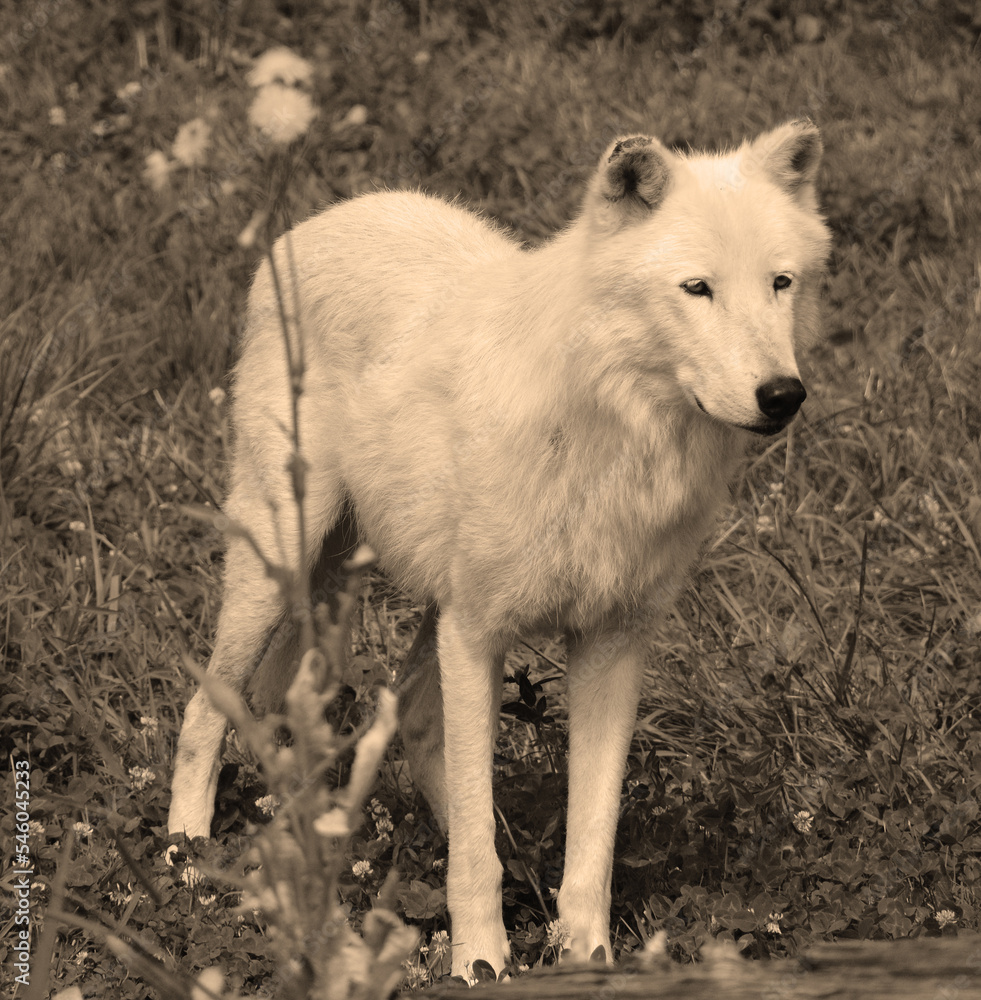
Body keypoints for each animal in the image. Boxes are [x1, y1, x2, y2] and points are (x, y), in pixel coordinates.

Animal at [168, 118, 830, 979]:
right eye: (697, 289)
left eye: (780, 283)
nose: (782, 395)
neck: (615, 435)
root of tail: (310, 224)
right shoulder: (478, 633)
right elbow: (475, 856)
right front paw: (478, 964)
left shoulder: (611, 647)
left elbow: (592, 840)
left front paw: (585, 960)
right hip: (282, 565)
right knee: (204, 707)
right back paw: (185, 858)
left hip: (406, 602)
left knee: (411, 728)